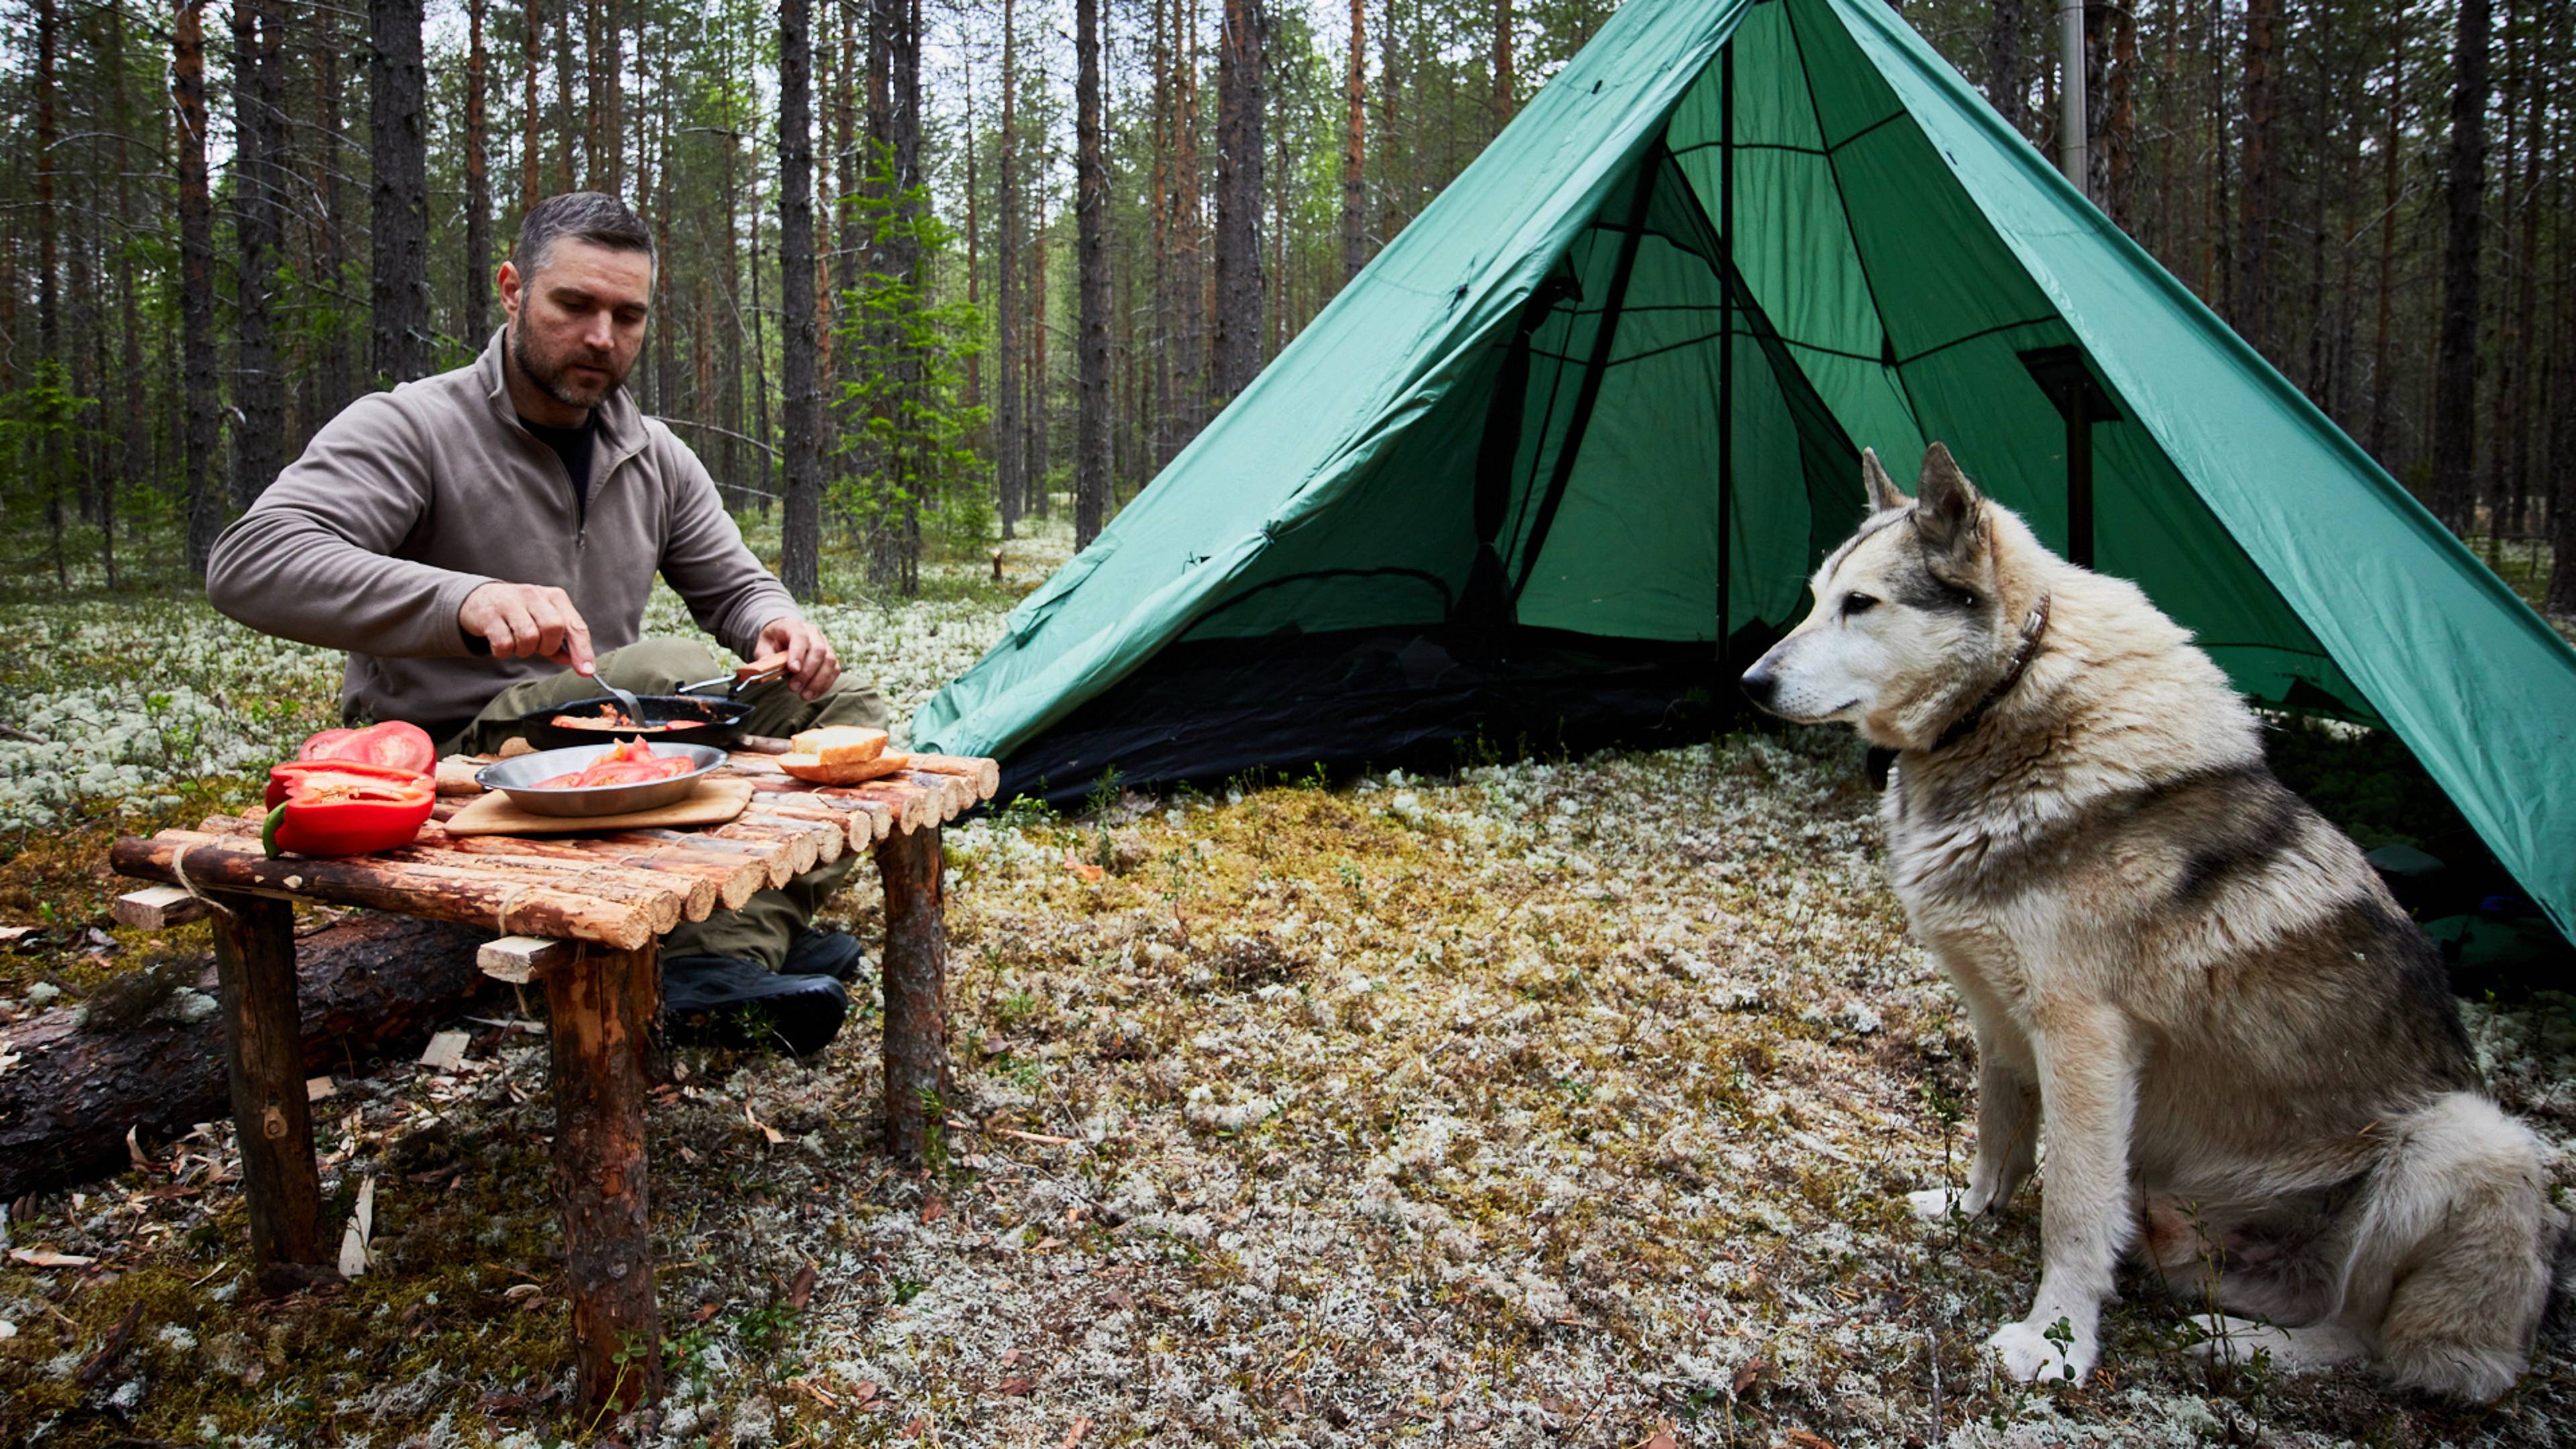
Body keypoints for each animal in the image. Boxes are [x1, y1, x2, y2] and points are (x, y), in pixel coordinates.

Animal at [1741, 443, 2565, 1402]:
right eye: (1813, 598)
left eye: (1862, 605)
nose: (1751, 681)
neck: (2007, 709)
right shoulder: (1998, 1013)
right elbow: (1996, 1131)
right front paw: (1970, 1211)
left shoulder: (2085, 1041)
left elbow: (2071, 1209)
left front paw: (2054, 1342)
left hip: (2471, 1140)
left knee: (2364, 1335)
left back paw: (2249, 1345)